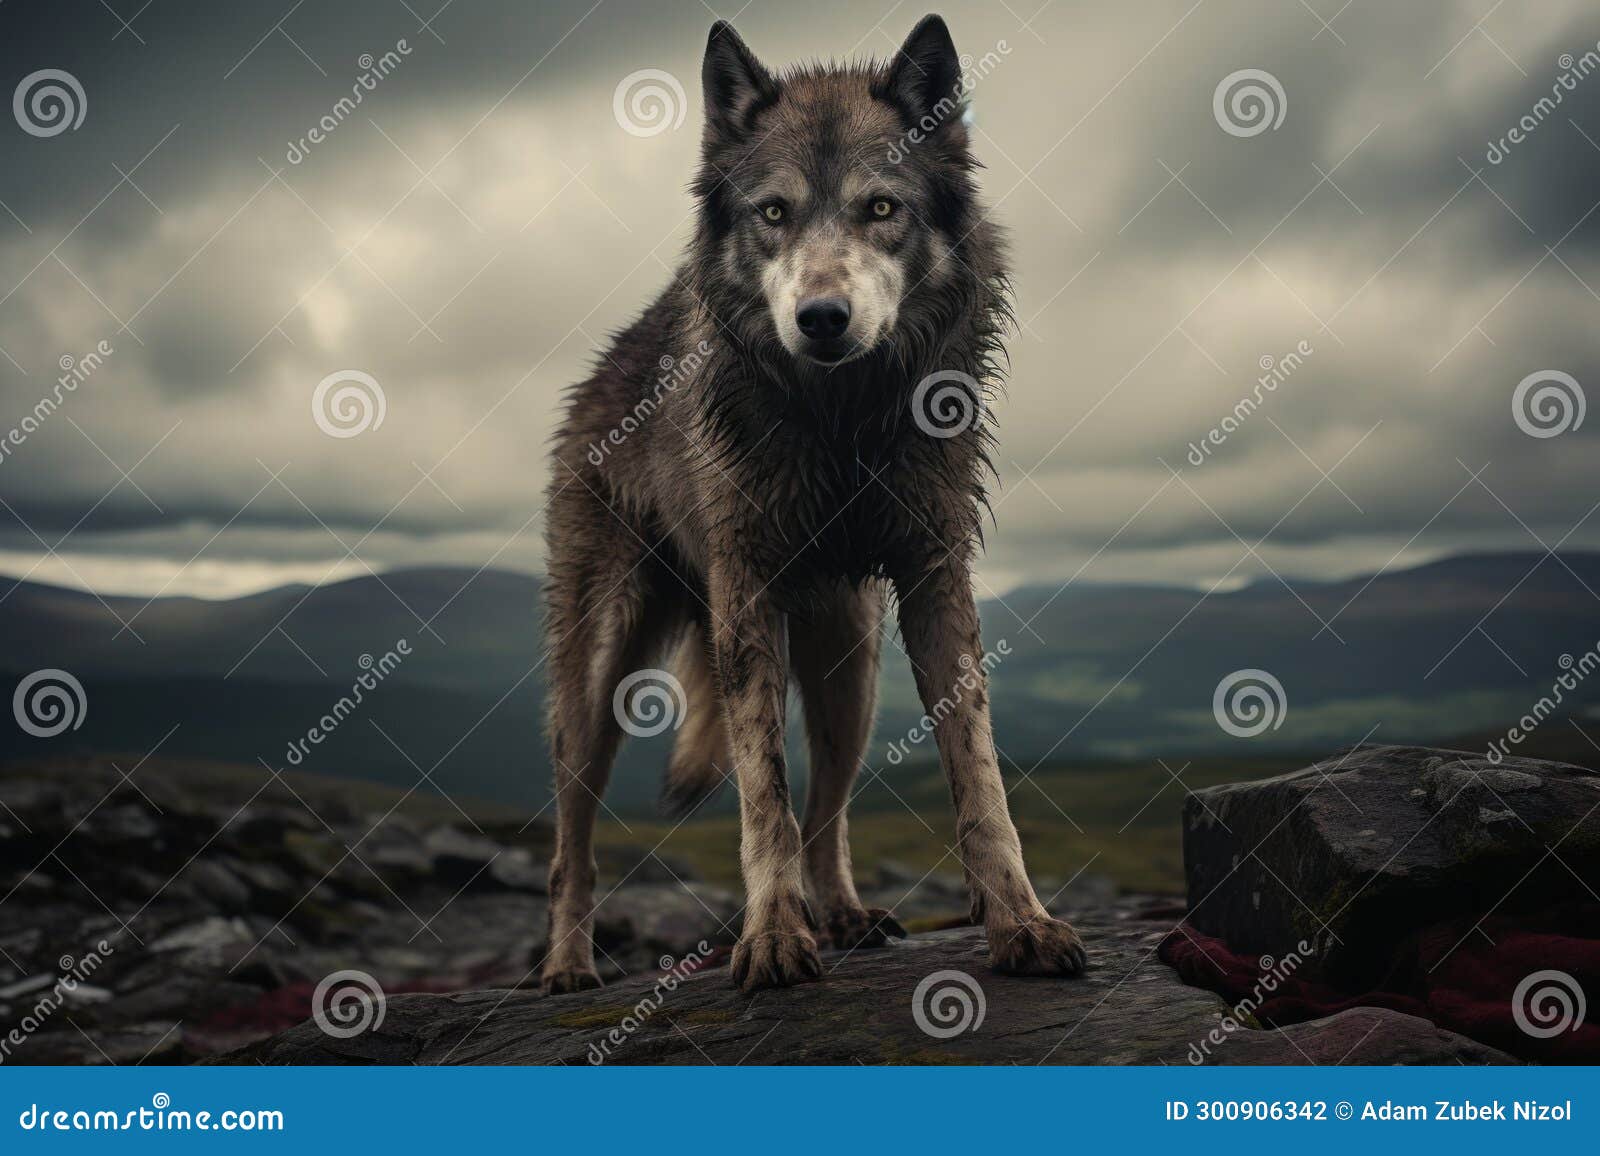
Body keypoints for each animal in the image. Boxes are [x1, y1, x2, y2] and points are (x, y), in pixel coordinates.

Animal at [540, 14, 1087, 993]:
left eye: (882, 209)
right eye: (773, 214)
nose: (822, 317)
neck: (842, 423)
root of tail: (600, 375)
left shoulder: (935, 577)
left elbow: (979, 781)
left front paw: (1022, 923)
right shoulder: (746, 597)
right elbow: (766, 794)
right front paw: (770, 940)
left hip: (850, 664)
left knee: (832, 806)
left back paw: (842, 915)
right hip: (594, 687)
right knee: (574, 846)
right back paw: (568, 966)